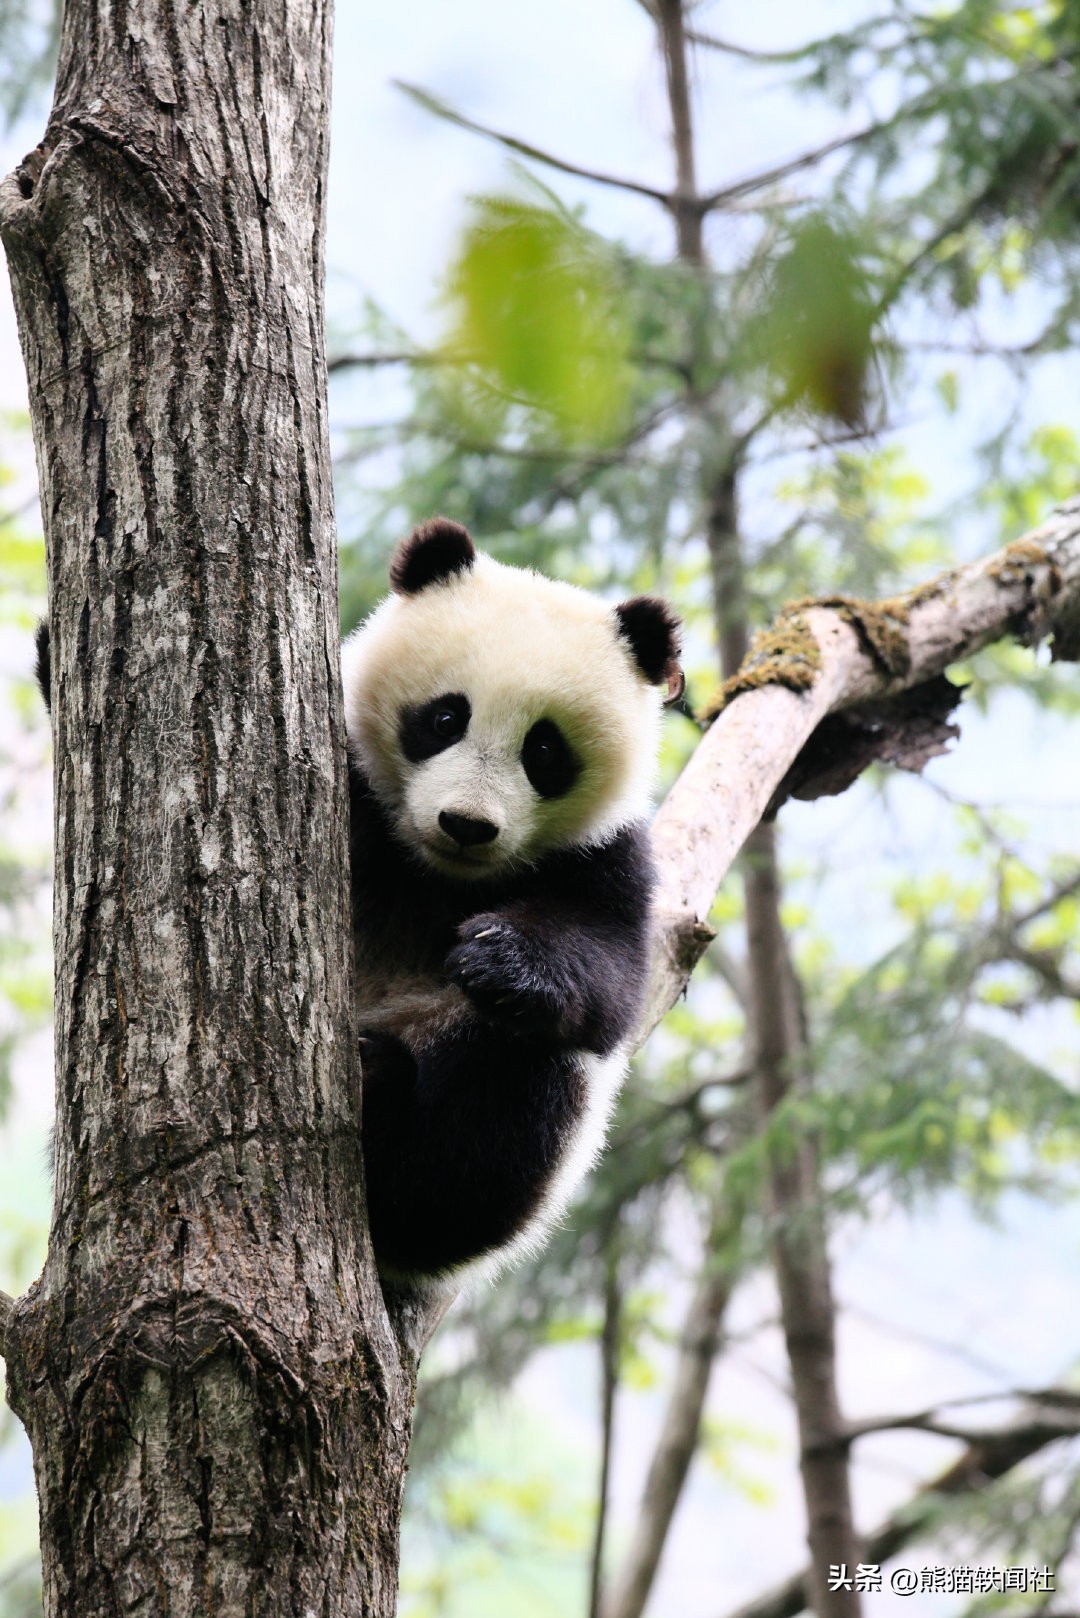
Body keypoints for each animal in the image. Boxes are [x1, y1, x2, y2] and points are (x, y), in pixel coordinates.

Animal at [343, 517, 681, 1283]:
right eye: (445, 718)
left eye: (545, 751)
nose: (466, 825)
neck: (440, 876)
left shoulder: (606, 860)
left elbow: (609, 977)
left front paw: (500, 959)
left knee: (498, 1109)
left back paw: (384, 1100)